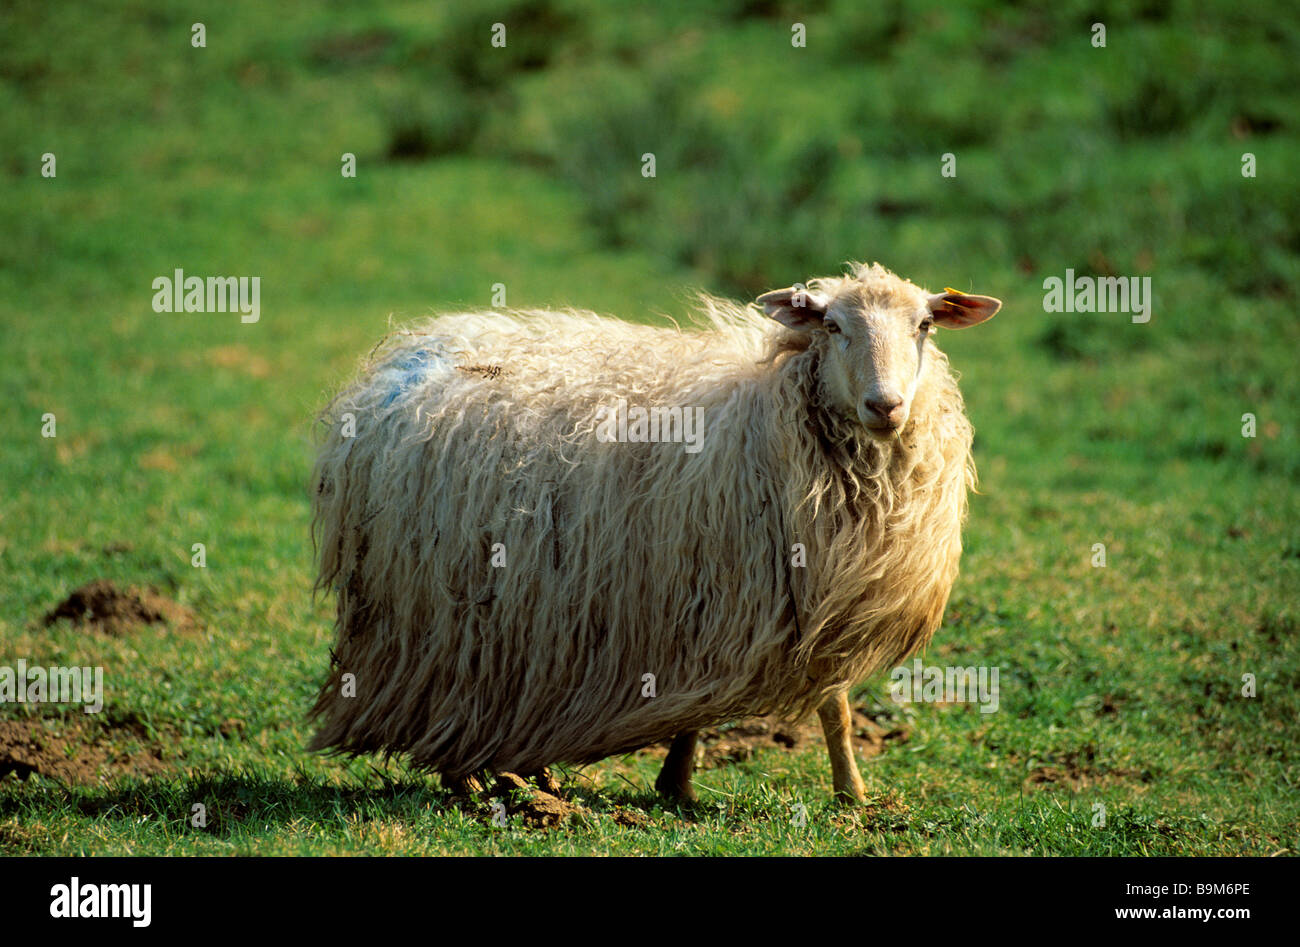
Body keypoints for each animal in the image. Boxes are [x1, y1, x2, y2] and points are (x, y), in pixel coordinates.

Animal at [307, 262, 1000, 803]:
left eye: (925, 326)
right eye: (832, 326)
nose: (886, 406)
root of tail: (402, 357)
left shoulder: (807, 592)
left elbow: (829, 702)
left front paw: (845, 793)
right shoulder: (725, 587)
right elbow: (725, 695)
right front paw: (687, 784)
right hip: (433, 607)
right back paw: (476, 777)